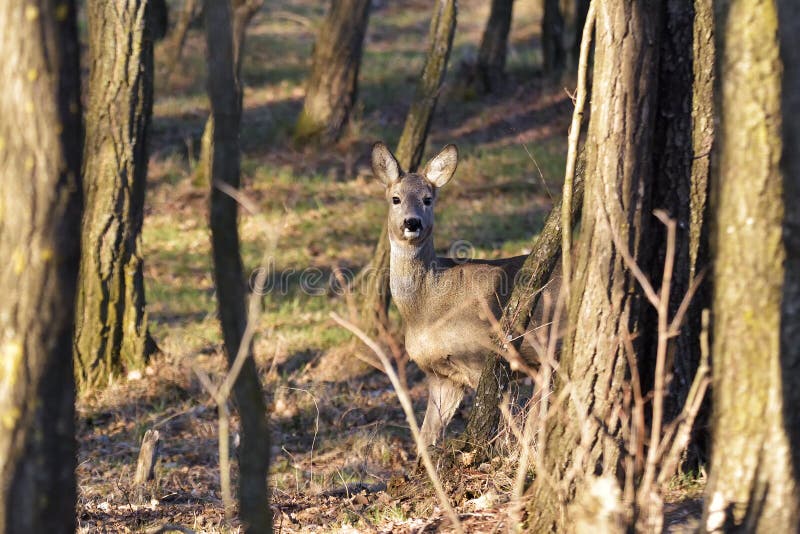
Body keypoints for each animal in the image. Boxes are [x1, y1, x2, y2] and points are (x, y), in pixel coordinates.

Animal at [372, 141, 538, 448]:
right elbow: (426, 438)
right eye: (395, 198)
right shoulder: (442, 375)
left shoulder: (490, 360)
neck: (427, 310)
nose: (412, 223)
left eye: (427, 199)